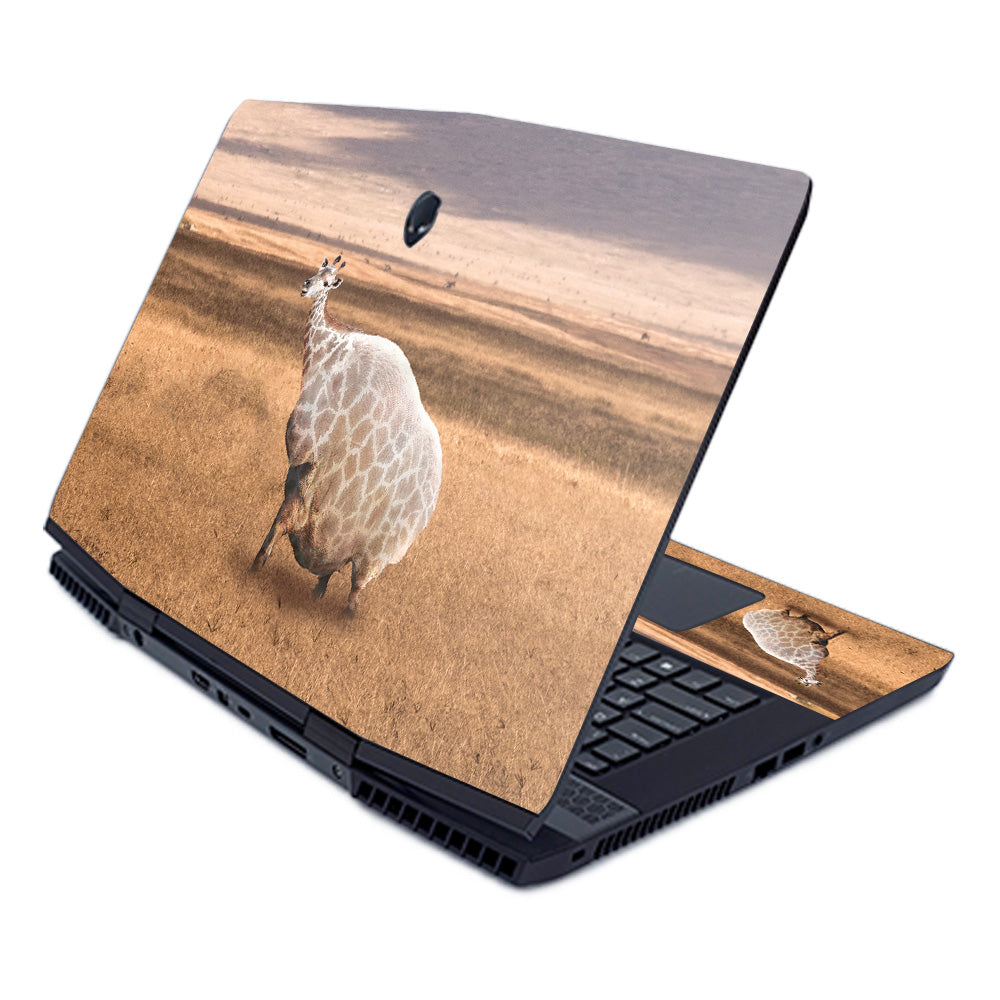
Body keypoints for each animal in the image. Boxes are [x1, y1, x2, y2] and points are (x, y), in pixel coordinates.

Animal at [251, 255, 442, 616]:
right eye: (316, 270)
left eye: (329, 282)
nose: (305, 286)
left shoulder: (303, 444)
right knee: (329, 572)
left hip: (376, 551)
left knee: (353, 594)